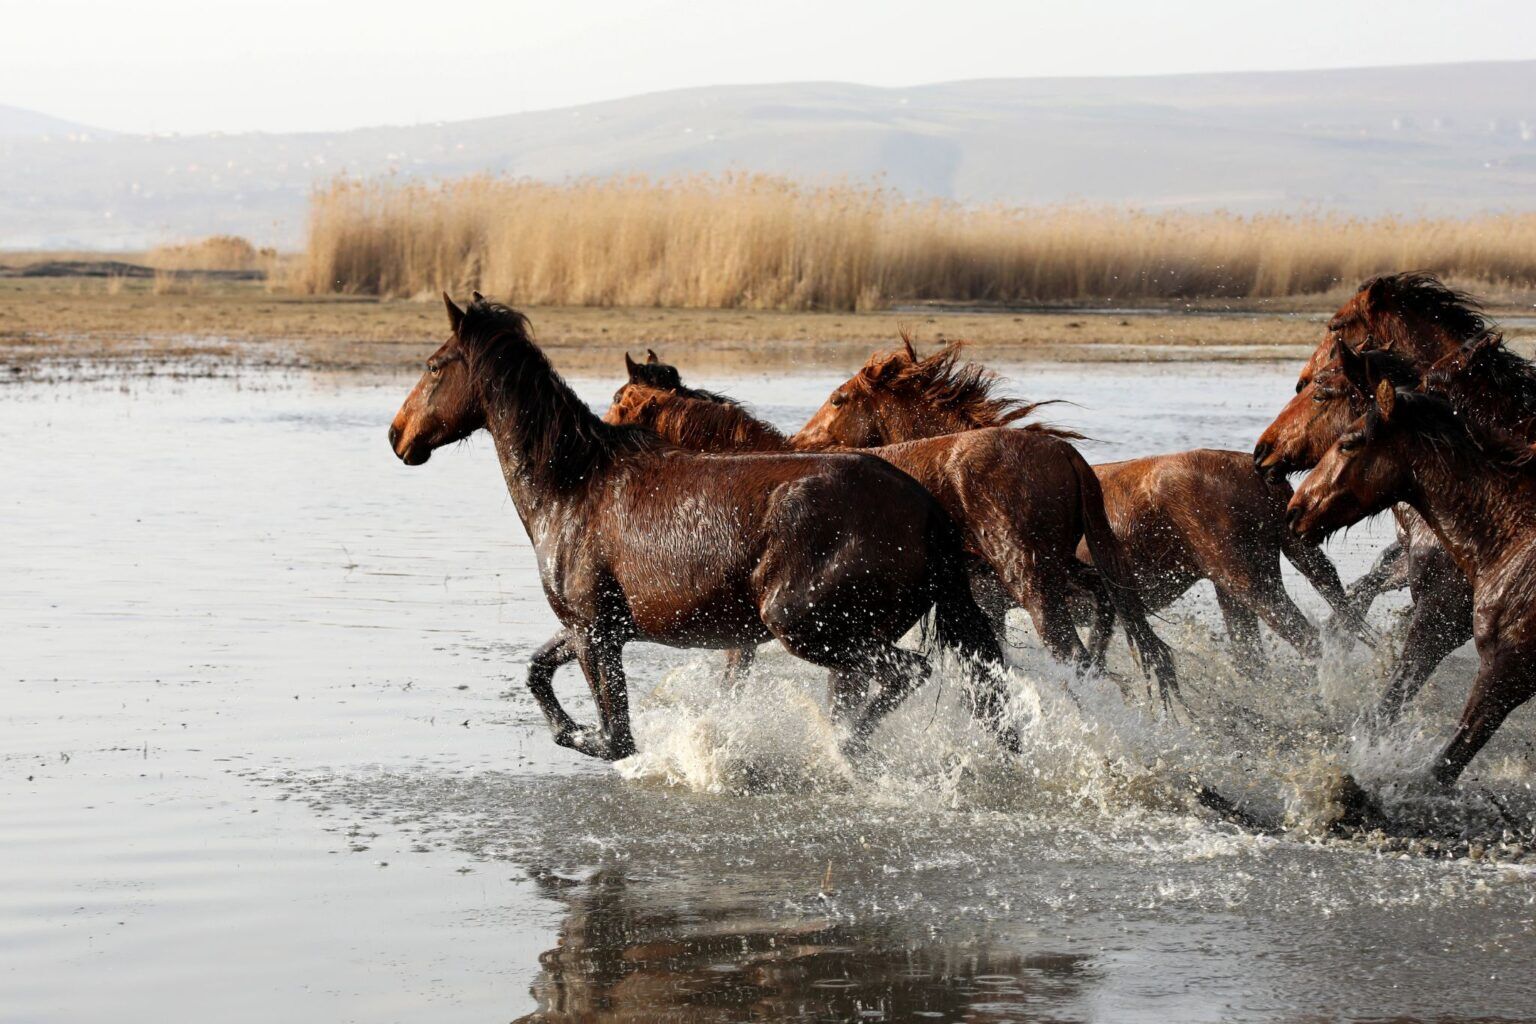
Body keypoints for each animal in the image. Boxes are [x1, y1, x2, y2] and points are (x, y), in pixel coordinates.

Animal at [389, 295, 1015, 761]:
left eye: (433, 365)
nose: (398, 436)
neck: (571, 486)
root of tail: (926, 508)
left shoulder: (595, 633)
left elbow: (616, 740)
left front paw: (593, 737)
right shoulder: (595, 628)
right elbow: (536, 671)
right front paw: (567, 727)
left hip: (808, 627)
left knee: (909, 672)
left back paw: (842, 748)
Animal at [604, 349, 1181, 707]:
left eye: (616, 402)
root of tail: (1066, 455)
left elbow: (734, 676)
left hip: (1032, 578)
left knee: (1073, 652)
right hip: (1059, 568)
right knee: (1106, 606)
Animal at [794, 338, 1365, 670]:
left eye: (839, 399)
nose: (797, 443)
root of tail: (1265, 473)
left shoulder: (993, 605)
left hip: (1252, 582)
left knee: (1311, 644)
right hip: (1235, 593)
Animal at [1253, 272, 1528, 721]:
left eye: (1320, 393)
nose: (1262, 452)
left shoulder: (1441, 610)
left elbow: (1394, 689)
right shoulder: (1410, 569)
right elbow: (1360, 598)